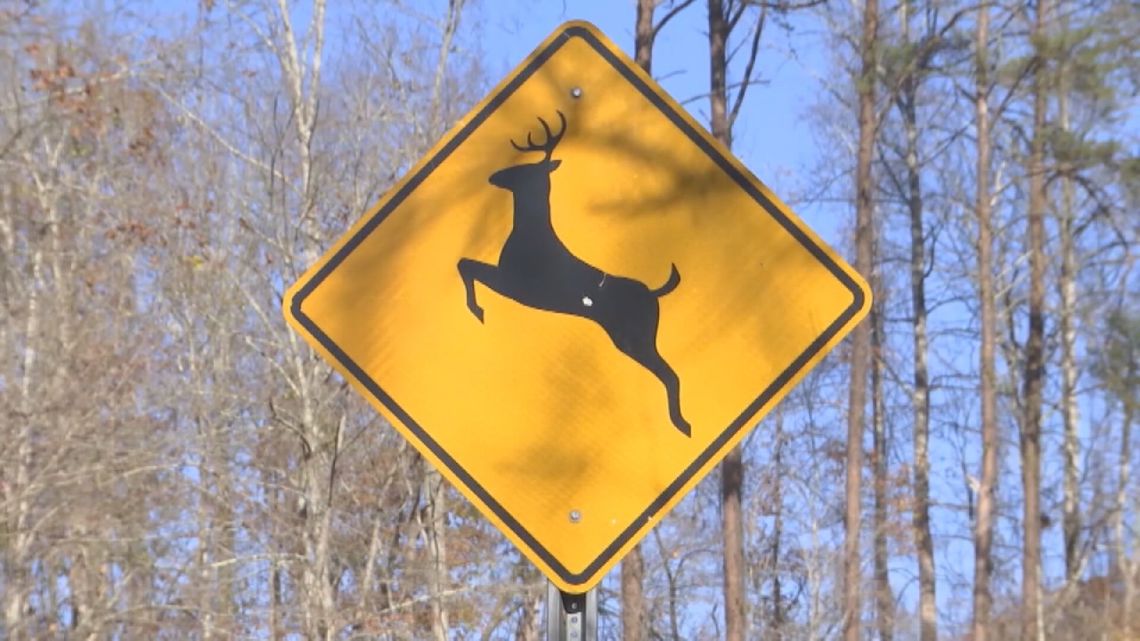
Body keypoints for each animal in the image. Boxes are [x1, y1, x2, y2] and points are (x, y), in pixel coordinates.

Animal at [458, 111, 691, 436]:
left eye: (523, 169)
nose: (493, 176)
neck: (528, 231)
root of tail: (654, 293)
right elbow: (466, 265)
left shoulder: (513, 283)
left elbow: (466, 265)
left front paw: (477, 310)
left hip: (634, 336)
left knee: (670, 374)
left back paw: (682, 425)